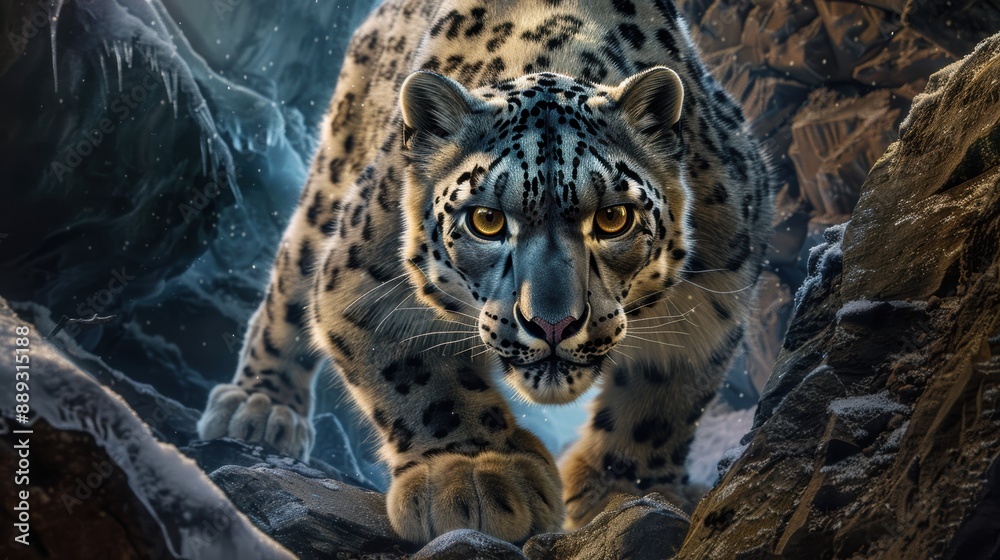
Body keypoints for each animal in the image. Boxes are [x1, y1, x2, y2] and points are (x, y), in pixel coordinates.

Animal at [197, 0, 773, 544]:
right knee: (290, 276)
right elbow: (416, 373)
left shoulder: (718, 282)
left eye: (613, 218)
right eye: (486, 220)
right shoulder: (361, 275)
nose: (553, 324)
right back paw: (258, 405)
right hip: (332, 178)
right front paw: (474, 476)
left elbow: (664, 396)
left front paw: (623, 489)